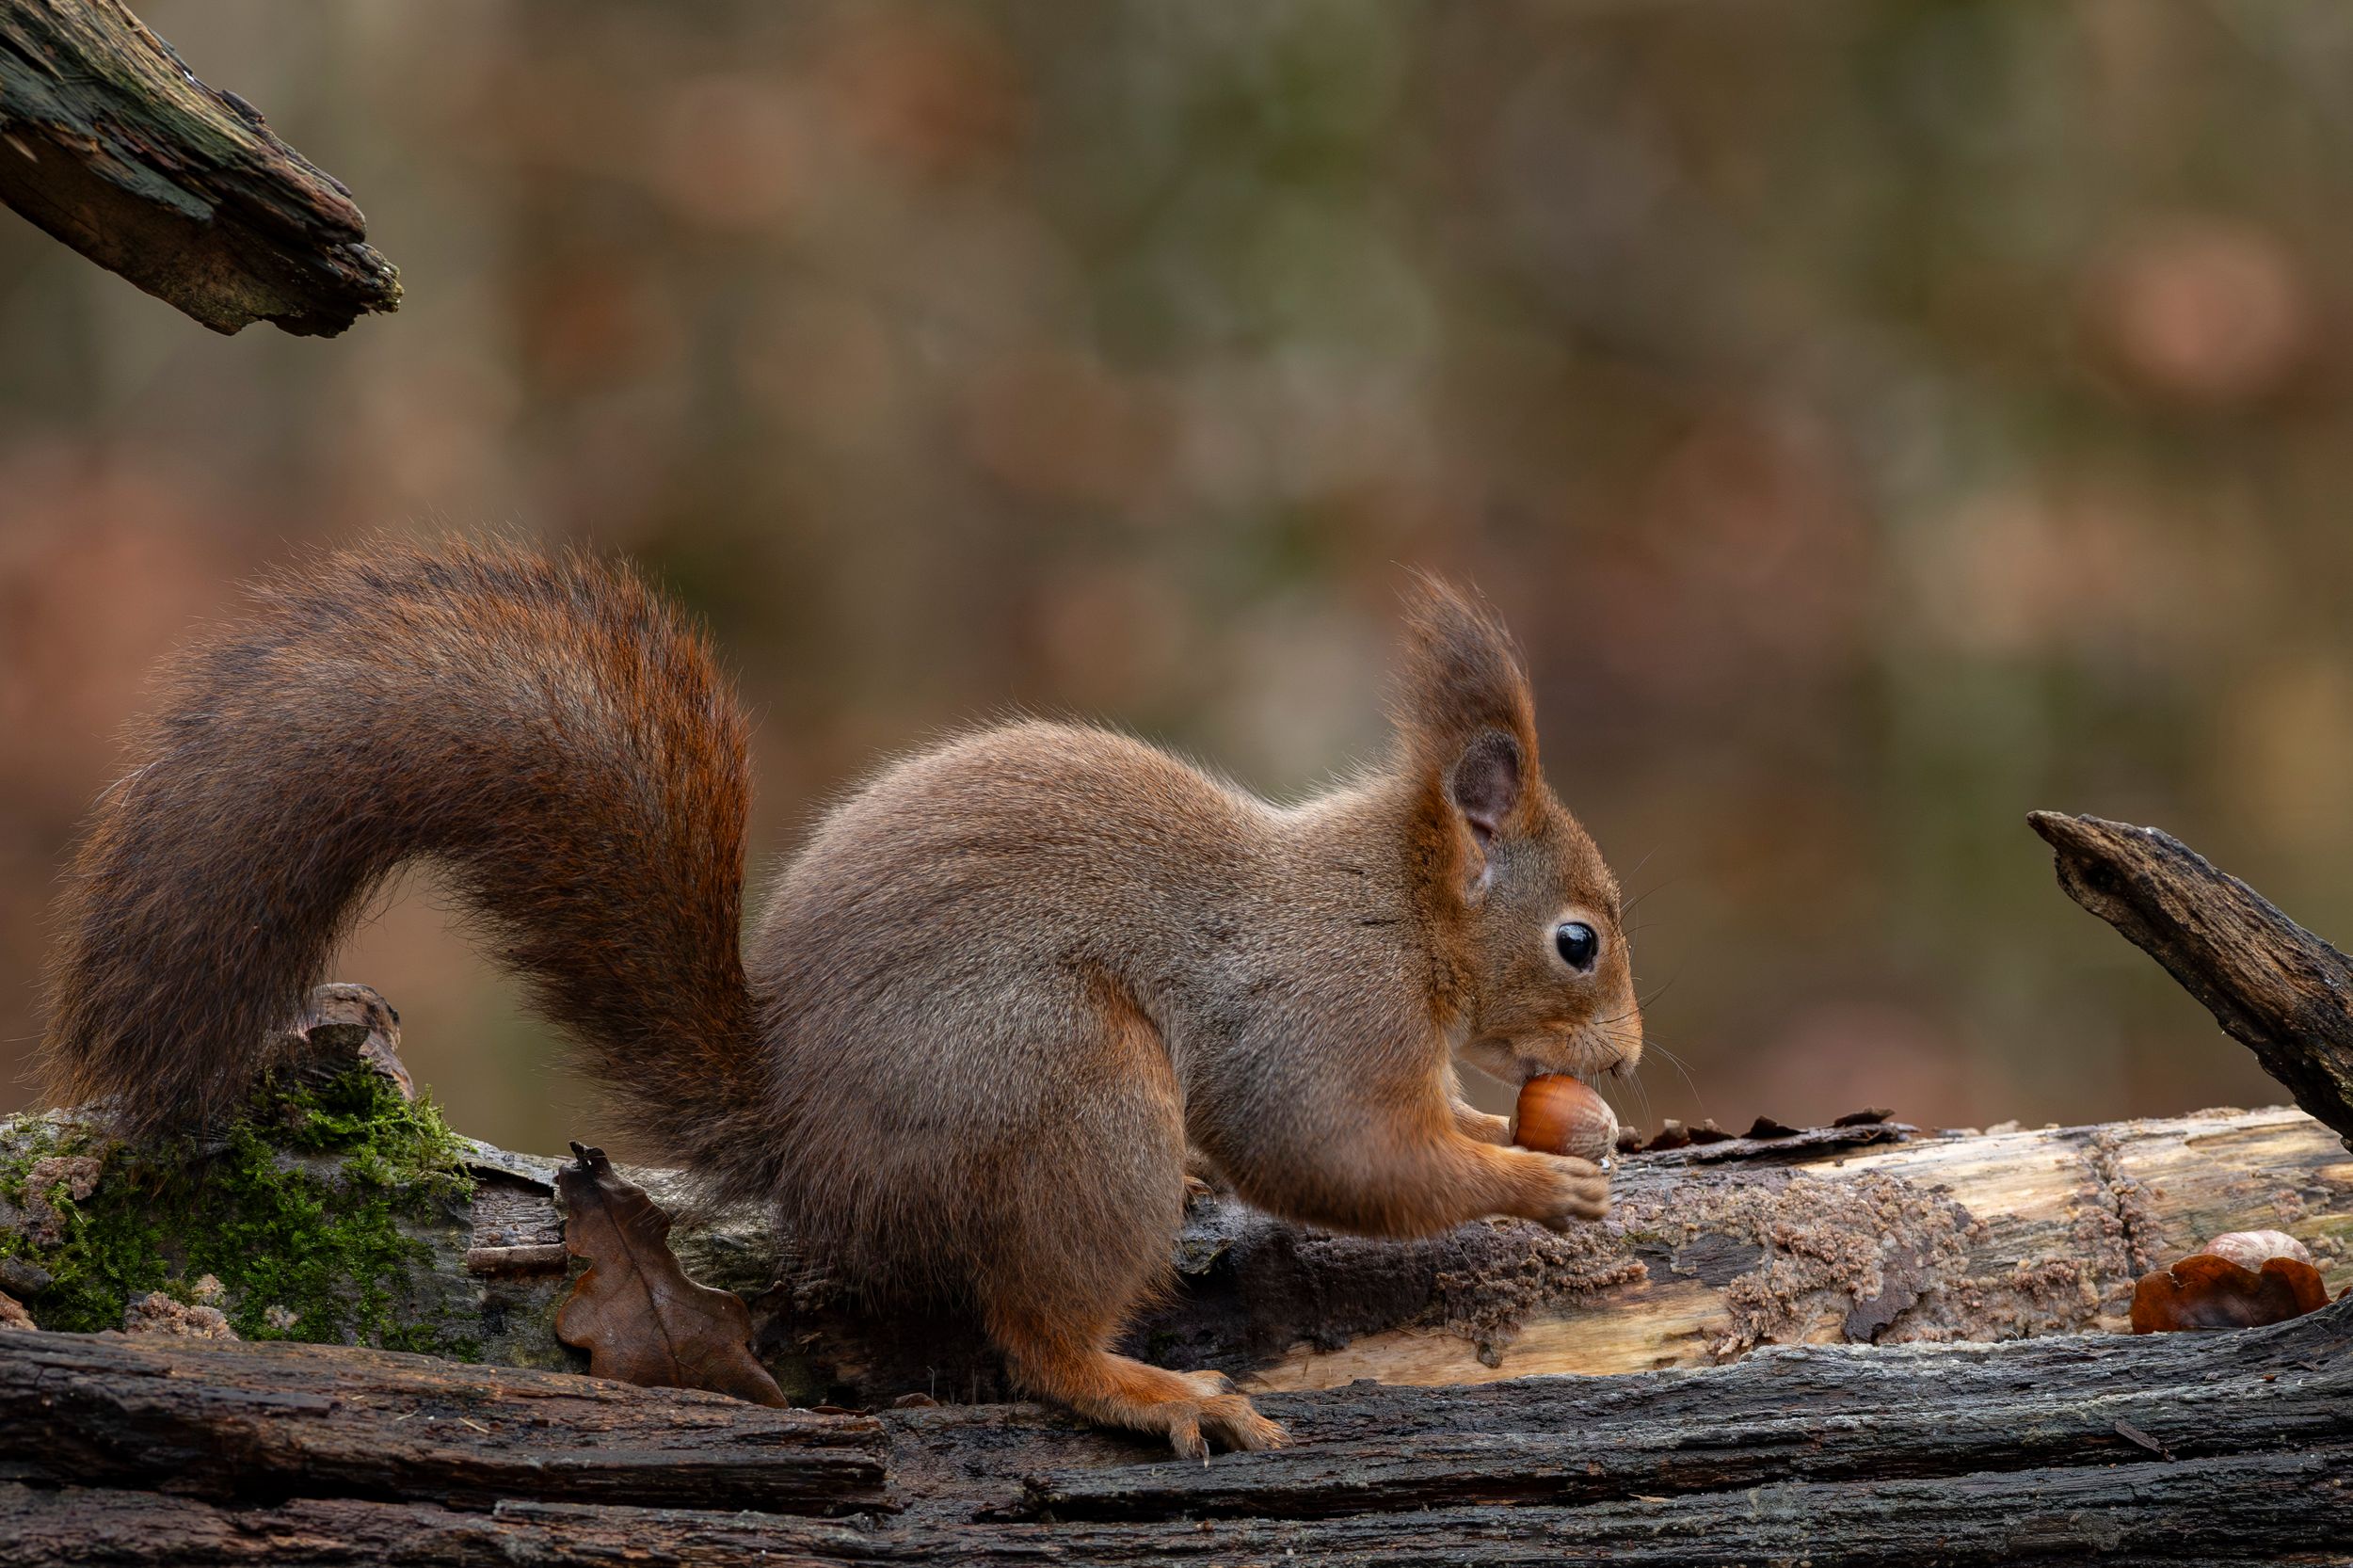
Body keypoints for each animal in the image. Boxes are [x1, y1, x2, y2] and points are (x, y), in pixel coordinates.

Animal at [40, 540, 1642, 1456]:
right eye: (1578, 939)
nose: (1626, 1057)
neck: (1403, 914)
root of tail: (803, 1141)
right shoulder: (1313, 1011)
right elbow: (1340, 1157)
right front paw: (1534, 1179)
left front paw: (1551, 1137)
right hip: (1072, 1085)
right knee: (1037, 1333)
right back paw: (1153, 1390)